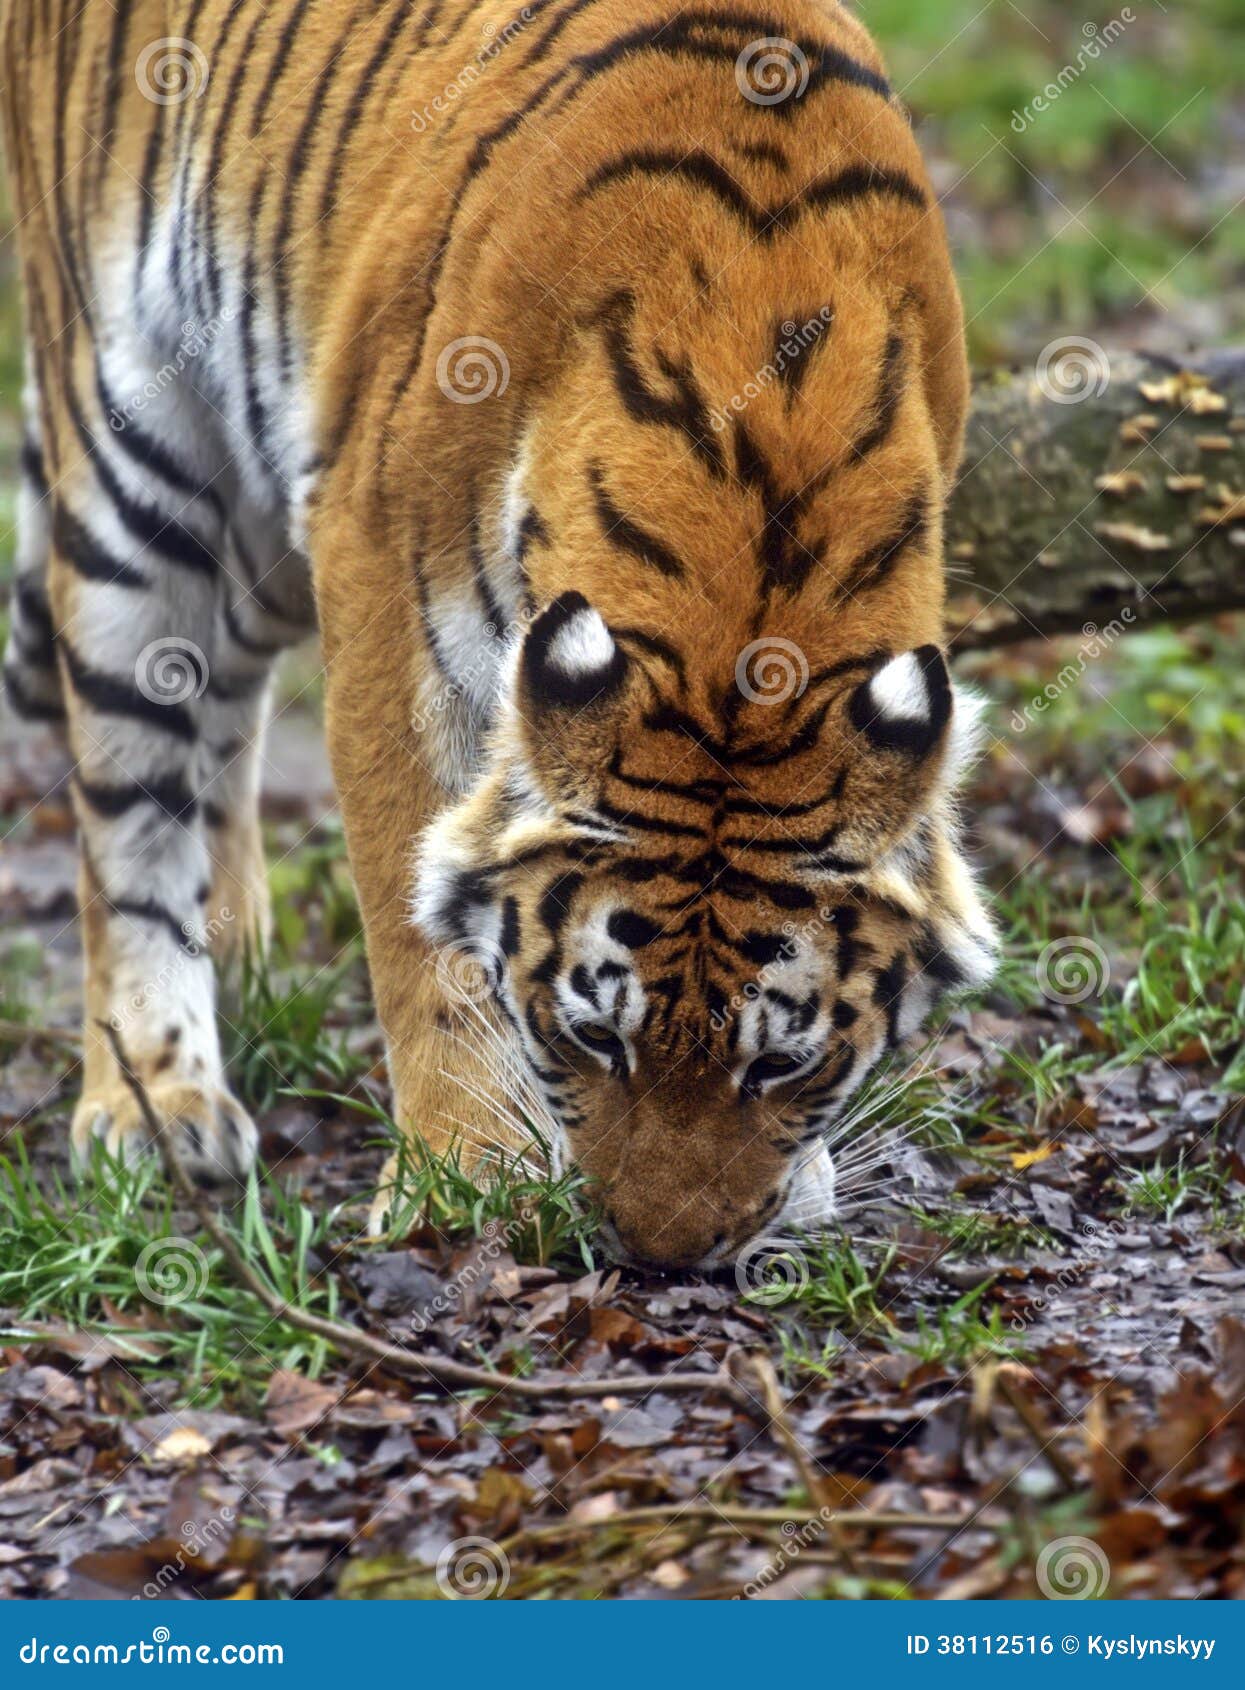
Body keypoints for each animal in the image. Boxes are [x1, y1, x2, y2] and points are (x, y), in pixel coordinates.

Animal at [1, 0, 997, 1268]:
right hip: (137, 460)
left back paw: (239, 947)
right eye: (592, 1034)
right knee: (127, 810)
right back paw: (153, 1100)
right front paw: (464, 1173)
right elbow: (417, 920)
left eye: (783, 1060)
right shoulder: (377, 570)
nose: (665, 1251)